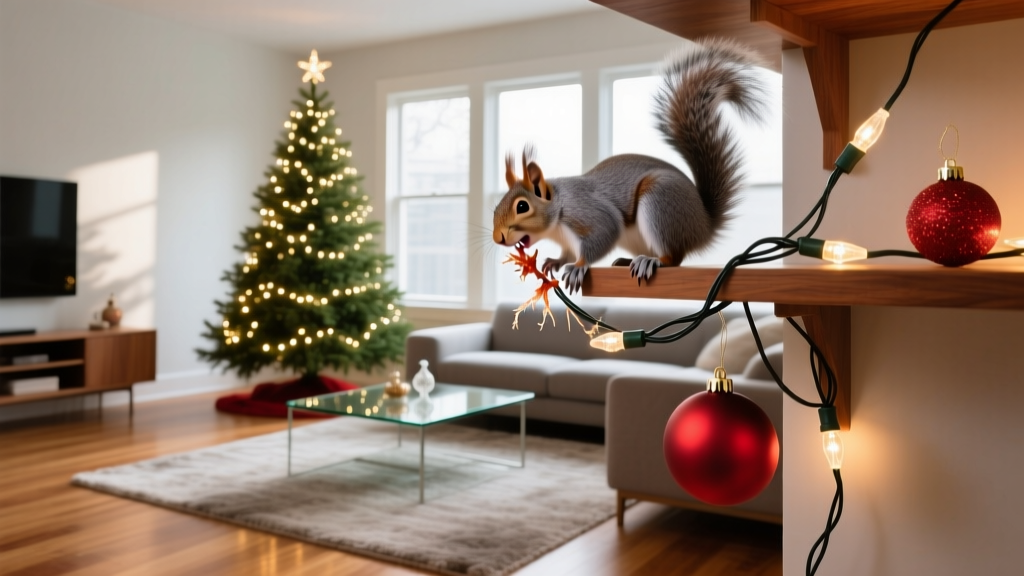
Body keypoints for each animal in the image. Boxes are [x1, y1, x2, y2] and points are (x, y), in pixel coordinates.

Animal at [492, 38, 770, 294]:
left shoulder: (587, 212)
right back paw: (628, 260)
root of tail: (704, 224)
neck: (558, 214)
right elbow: (567, 252)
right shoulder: (567, 240)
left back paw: (651, 260)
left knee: (674, 258)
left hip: (661, 204)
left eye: (522, 206)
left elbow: (603, 233)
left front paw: (579, 266)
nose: (498, 237)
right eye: (496, 208)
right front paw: (556, 261)